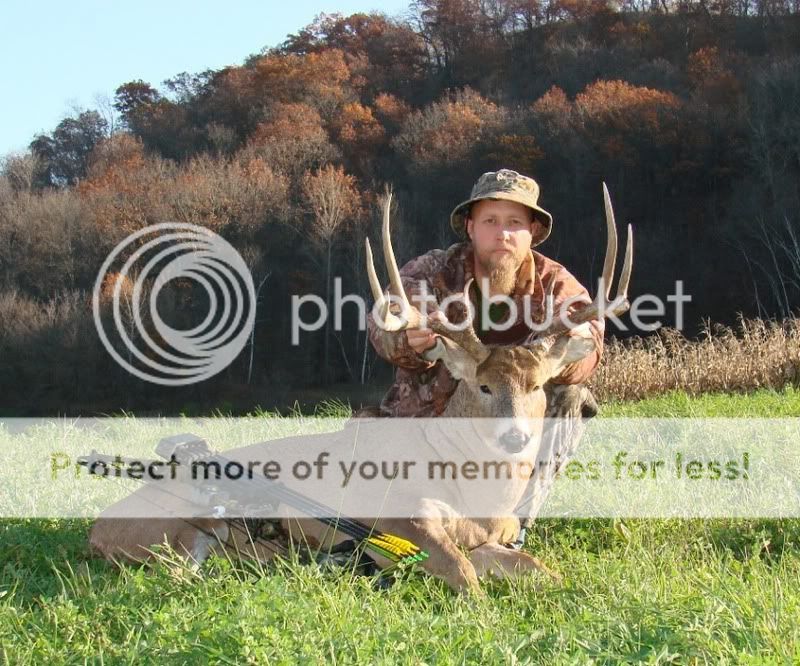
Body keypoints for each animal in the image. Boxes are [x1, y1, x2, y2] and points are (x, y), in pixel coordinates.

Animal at [88, 185, 632, 593]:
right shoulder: (397, 518)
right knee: (178, 571)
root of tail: (97, 529)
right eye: (480, 385)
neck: (472, 488)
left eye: (537, 384)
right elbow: (462, 572)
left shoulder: (489, 539)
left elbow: (543, 571)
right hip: (179, 525)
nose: (515, 436)